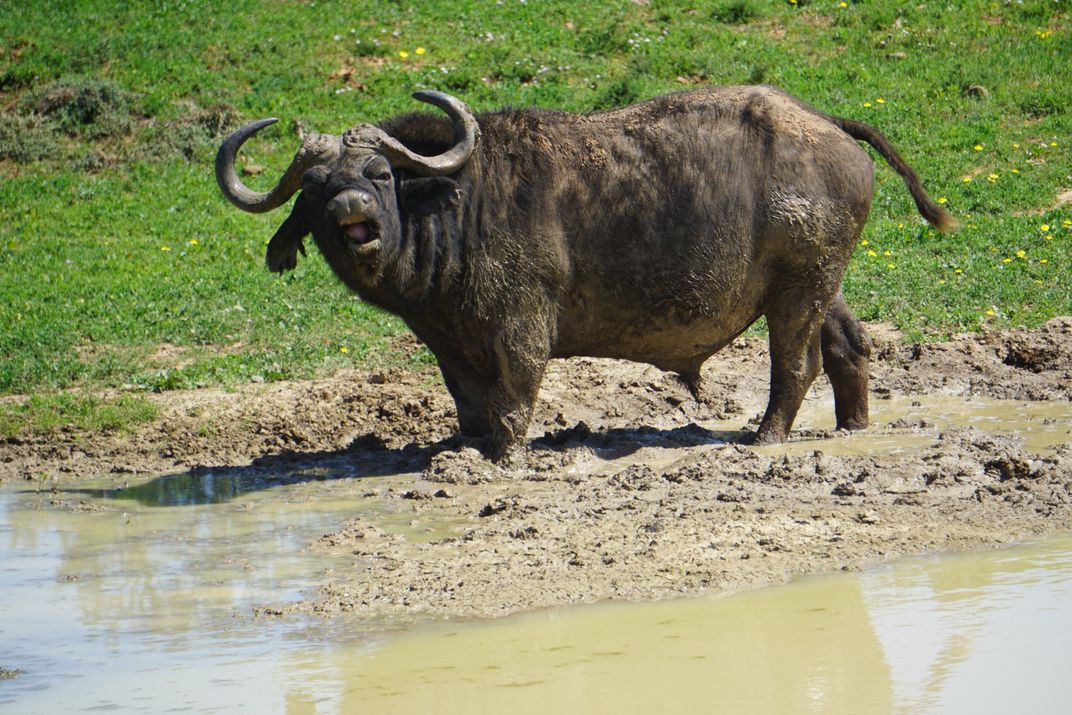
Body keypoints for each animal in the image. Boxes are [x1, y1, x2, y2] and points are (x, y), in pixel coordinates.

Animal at [216, 86, 953, 458]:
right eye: (315, 185)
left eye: (378, 173)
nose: (349, 208)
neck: (457, 203)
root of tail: (827, 122)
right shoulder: (448, 344)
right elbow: (469, 403)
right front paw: (464, 451)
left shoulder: (521, 326)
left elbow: (513, 399)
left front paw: (505, 460)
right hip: (820, 281)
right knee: (849, 345)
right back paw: (852, 427)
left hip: (799, 287)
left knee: (795, 364)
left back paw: (764, 437)